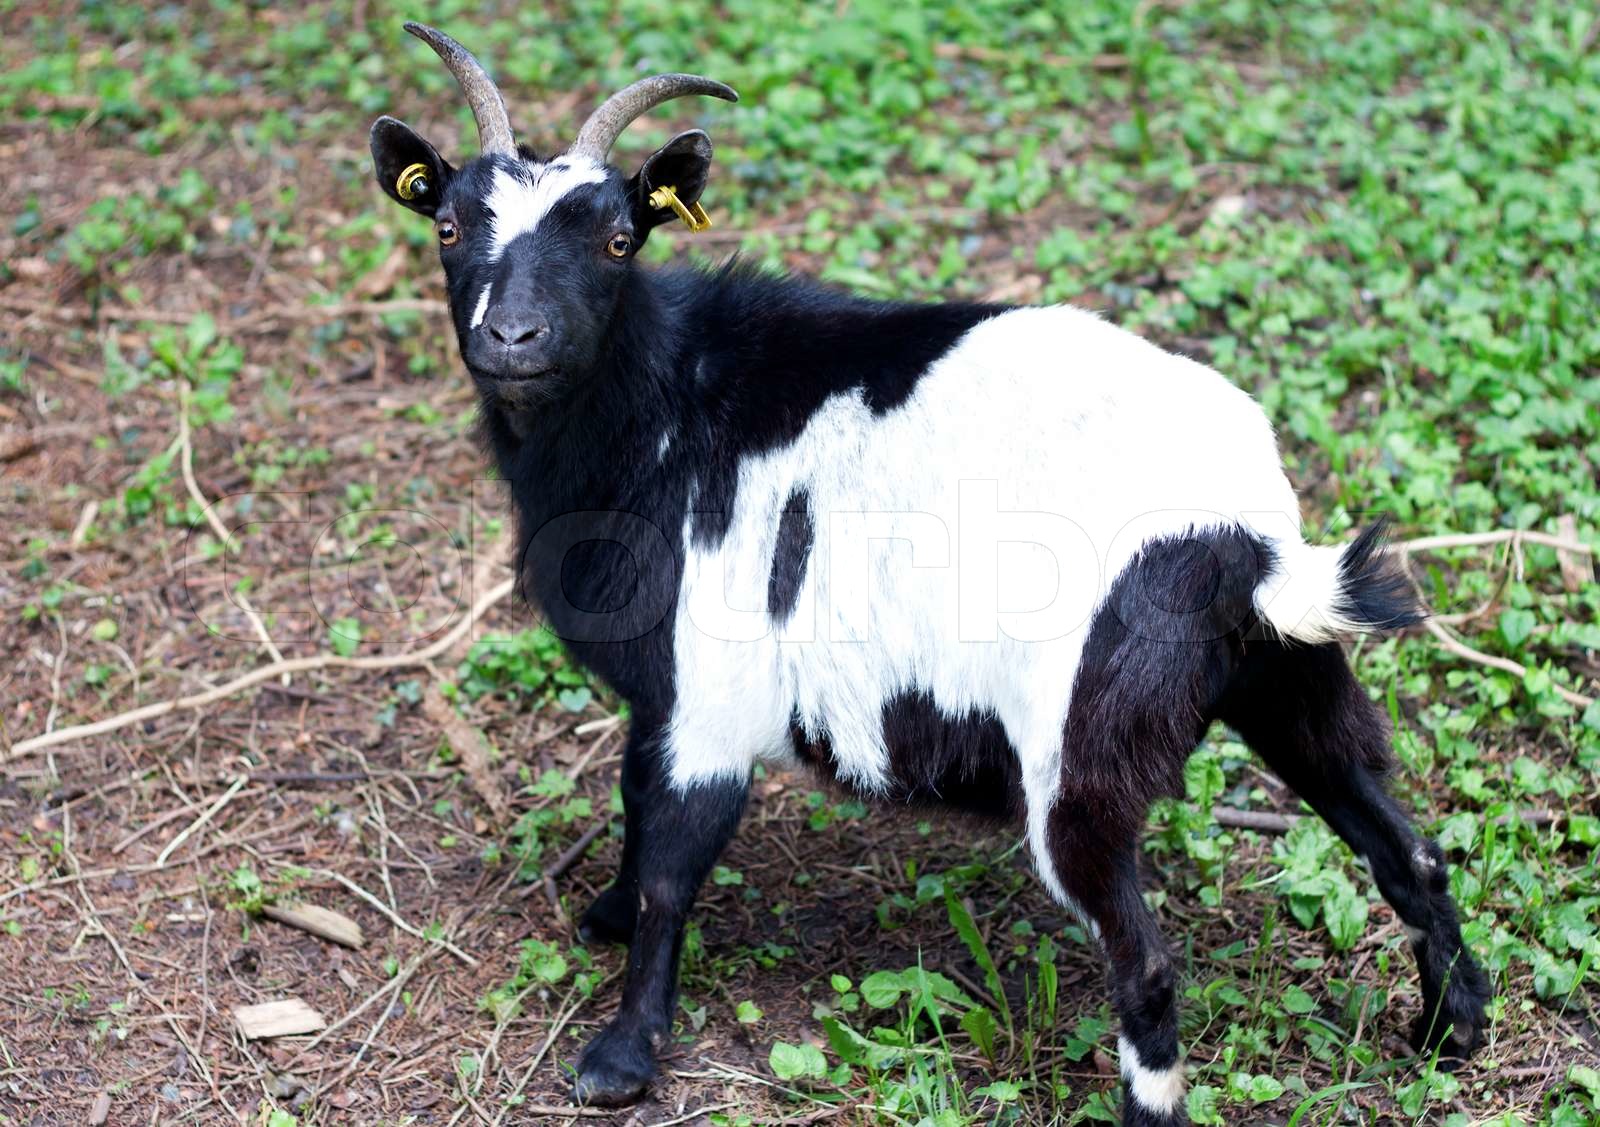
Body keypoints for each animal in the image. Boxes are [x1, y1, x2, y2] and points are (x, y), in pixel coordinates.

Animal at [369, 23, 1489, 1124]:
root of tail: (1240, 544)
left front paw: (621, 1055)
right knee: (1407, 846)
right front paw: (599, 911)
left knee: (1146, 961)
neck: (669, 408)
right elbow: (634, 801)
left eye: (615, 241)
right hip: (1287, 672)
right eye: (449, 228)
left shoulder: (713, 689)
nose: (513, 337)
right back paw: (1453, 1028)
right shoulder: (663, 691)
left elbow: (670, 870)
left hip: (1079, 754)